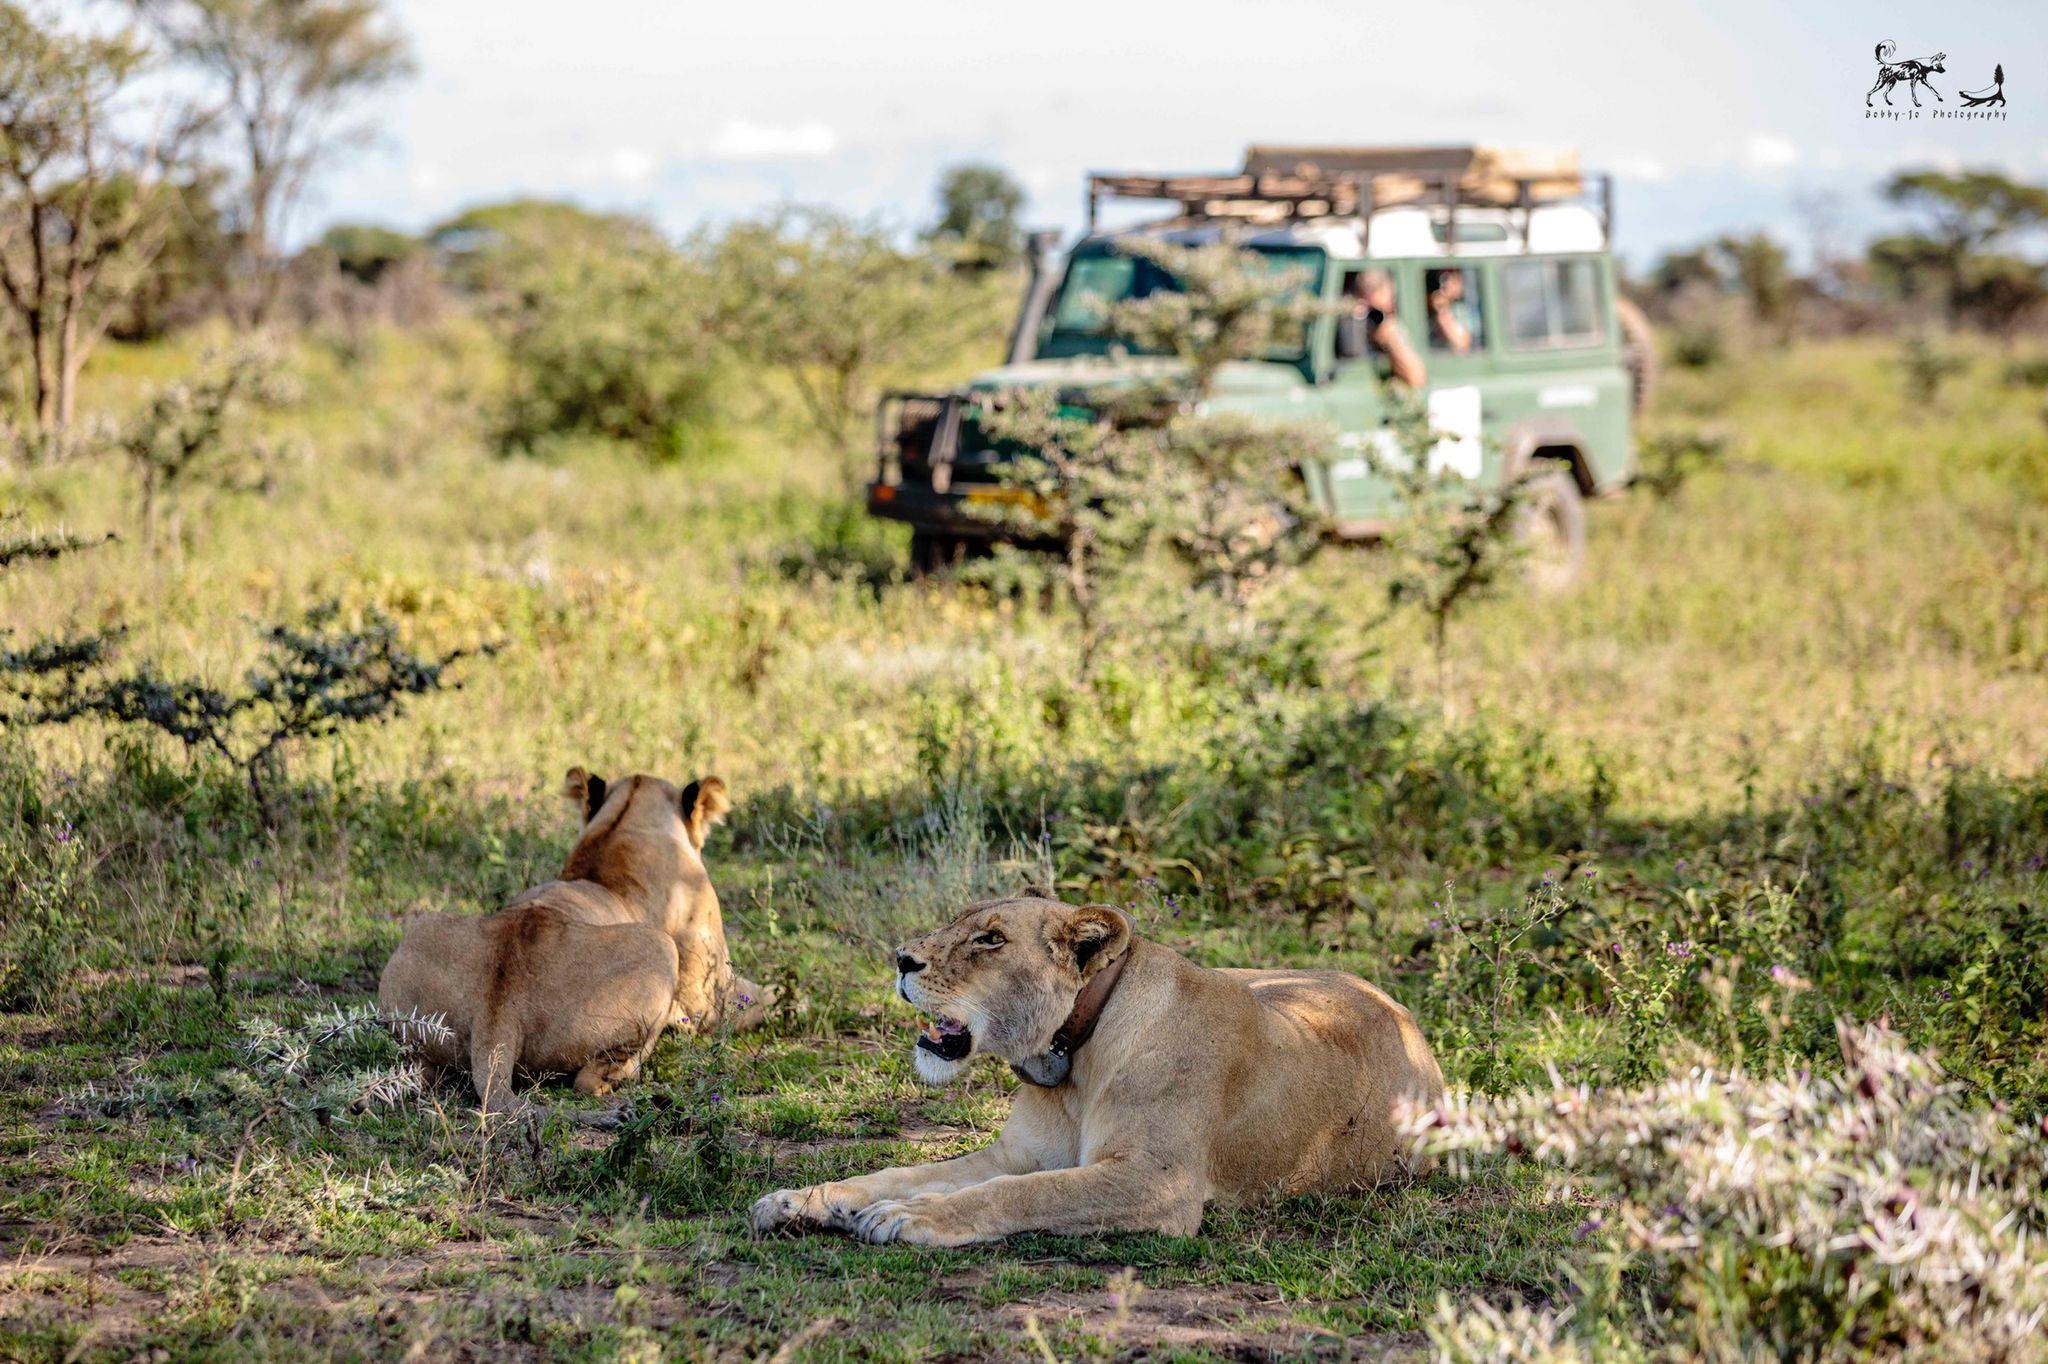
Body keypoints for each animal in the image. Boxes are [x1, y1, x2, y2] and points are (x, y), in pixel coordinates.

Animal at [379, 769, 773, 1119]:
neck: (625, 823)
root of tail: (497, 1013)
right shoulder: (709, 998)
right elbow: (761, 999)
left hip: (422, 930)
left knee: (420, 1069)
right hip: (662, 949)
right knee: (591, 1079)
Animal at [749, 894, 1443, 1245]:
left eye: (990, 939)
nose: (900, 959)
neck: (1069, 1061)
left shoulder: (1156, 1183)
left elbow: (1019, 1194)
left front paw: (909, 1216)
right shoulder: (1014, 1154)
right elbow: (901, 1171)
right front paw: (804, 1201)